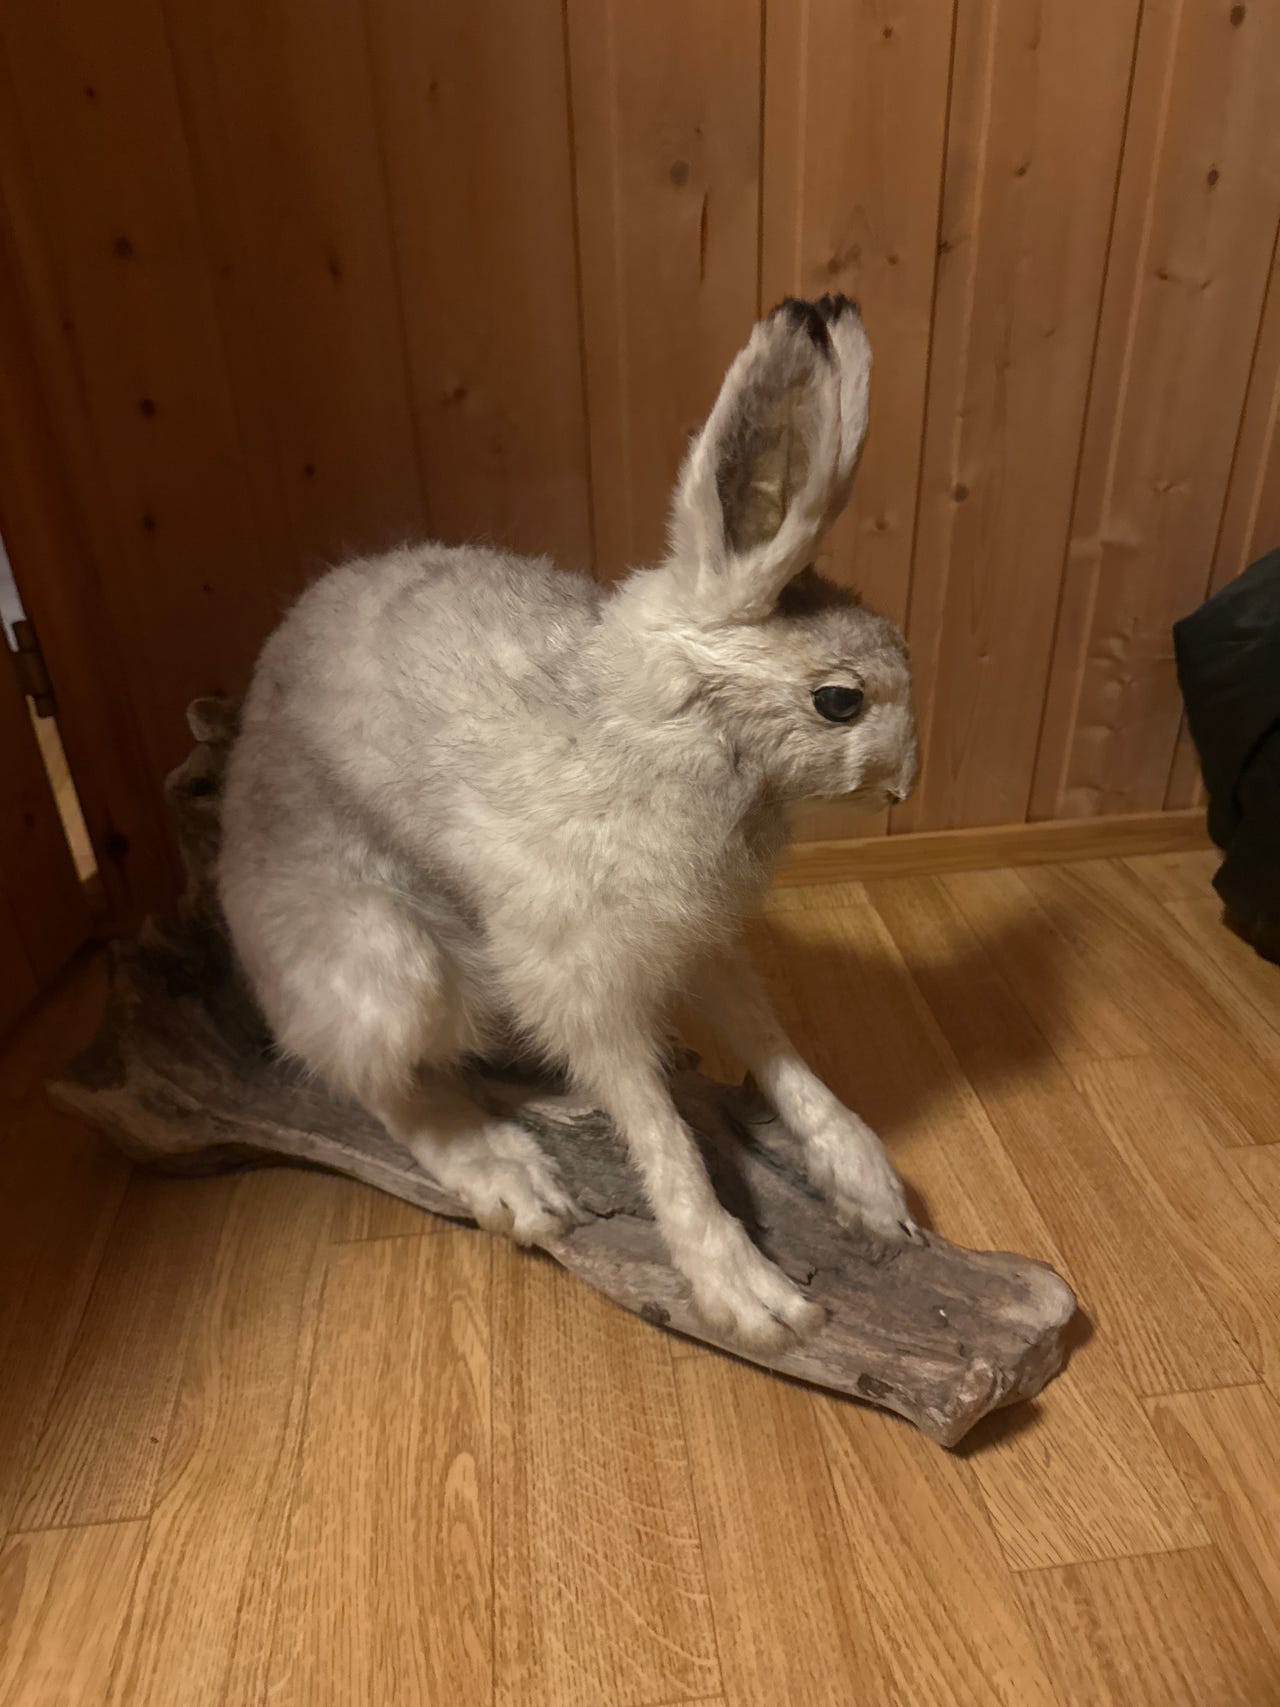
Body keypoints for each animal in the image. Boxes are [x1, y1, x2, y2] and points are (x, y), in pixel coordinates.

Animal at [218, 293, 919, 1350]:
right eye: (840, 701)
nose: (908, 781)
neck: (669, 733)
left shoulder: (702, 940)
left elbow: (774, 1046)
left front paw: (869, 1186)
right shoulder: (575, 970)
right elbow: (659, 1129)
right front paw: (750, 1297)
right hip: (393, 965)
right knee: (379, 1079)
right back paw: (506, 1173)